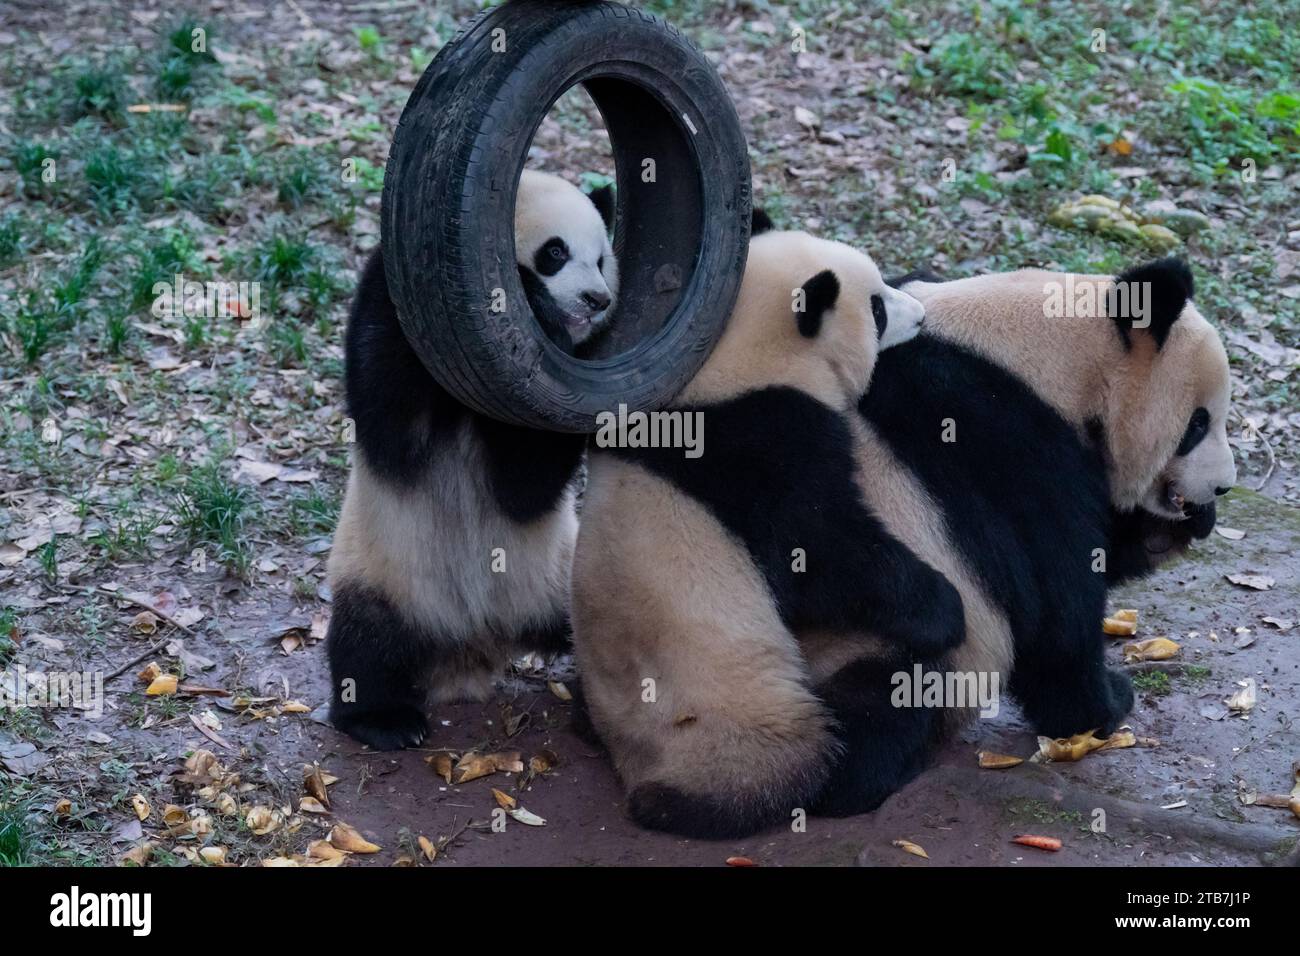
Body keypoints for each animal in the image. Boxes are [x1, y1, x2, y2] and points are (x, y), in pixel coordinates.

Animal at [326, 169, 617, 750]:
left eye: (601, 258)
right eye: (555, 252)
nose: (597, 299)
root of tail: (477, 644)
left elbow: (525, 482)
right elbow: (391, 418)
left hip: (562, 576)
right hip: (387, 574)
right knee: (362, 643)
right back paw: (384, 719)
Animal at [569, 226, 949, 838]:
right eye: (875, 307)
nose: (917, 315)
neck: (733, 358)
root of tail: (635, 766)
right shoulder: (767, 442)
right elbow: (821, 554)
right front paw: (944, 607)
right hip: (741, 717)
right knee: (824, 738)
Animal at [802, 256, 1237, 817]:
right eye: (1198, 424)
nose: (1222, 486)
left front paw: (1174, 526)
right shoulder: (1012, 446)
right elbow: (1057, 601)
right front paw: (1103, 705)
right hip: (860, 631)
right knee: (889, 693)